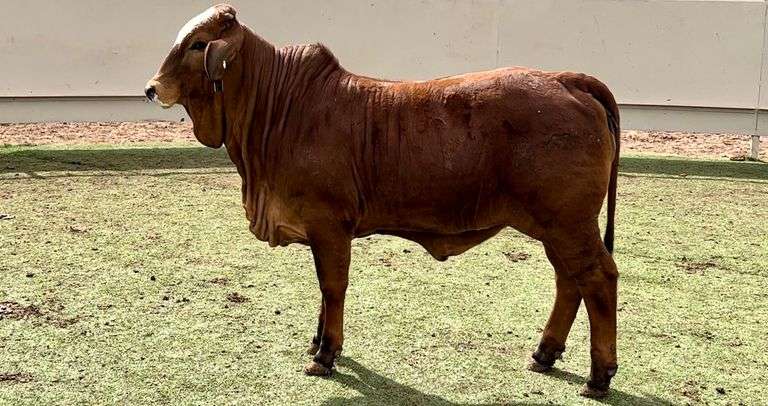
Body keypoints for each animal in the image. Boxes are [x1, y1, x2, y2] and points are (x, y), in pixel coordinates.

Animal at [146, 4, 621, 398]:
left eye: (197, 44)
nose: (151, 89)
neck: (279, 107)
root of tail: (565, 78)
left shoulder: (329, 225)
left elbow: (332, 287)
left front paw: (326, 354)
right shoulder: (321, 231)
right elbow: (324, 289)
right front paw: (318, 343)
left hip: (568, 223)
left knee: (598, 279)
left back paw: (599, 376)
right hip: (555, 227)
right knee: (568, 281)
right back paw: (544, 353)